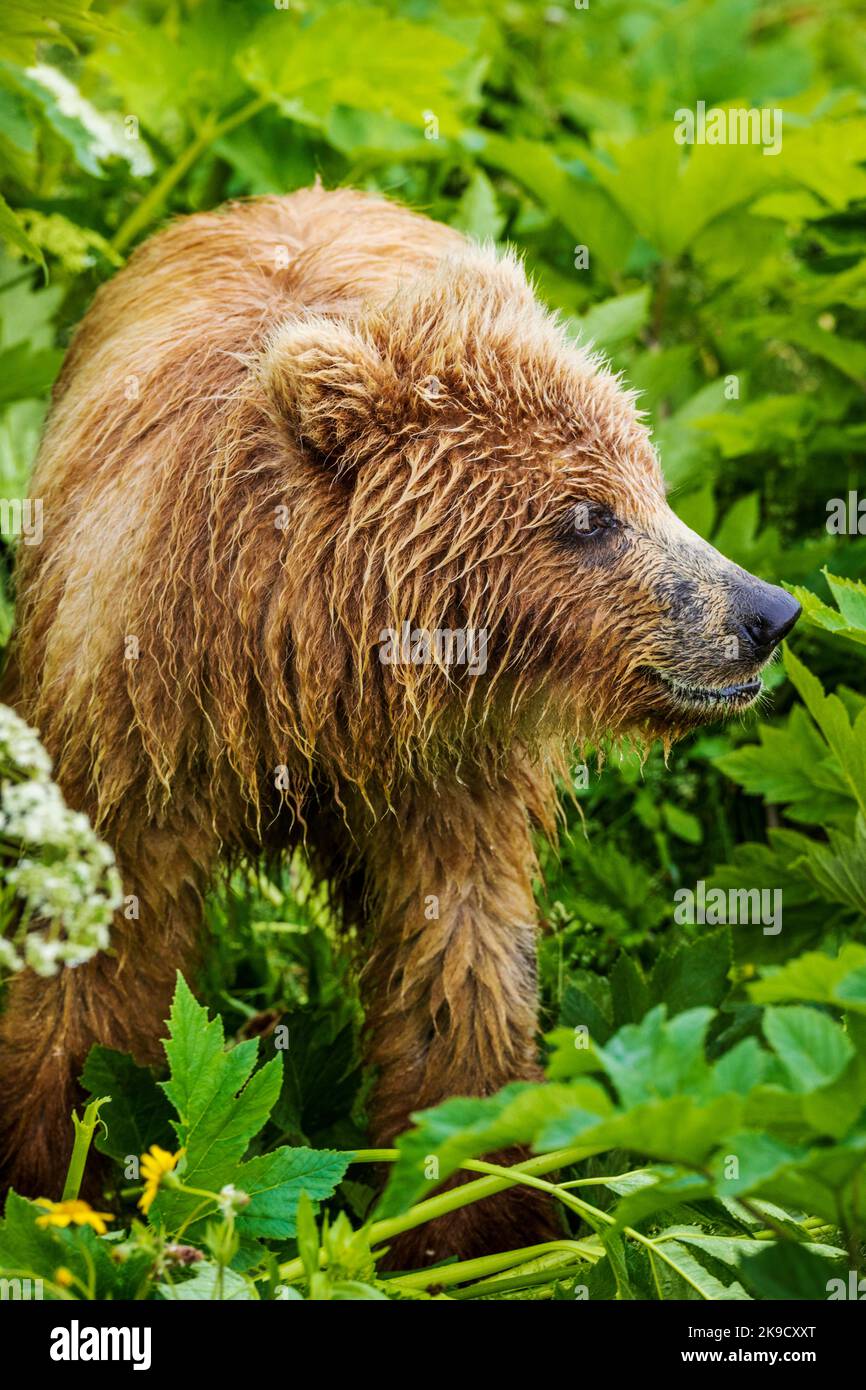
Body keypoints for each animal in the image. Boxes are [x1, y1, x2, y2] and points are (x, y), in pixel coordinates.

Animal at [0, 184, 800, 1265]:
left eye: (651, 484)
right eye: (589, 515)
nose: (765, 612)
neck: (308, 670)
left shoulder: (446, 769)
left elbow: (455, 963)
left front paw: (470, 1215)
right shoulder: (131, 731)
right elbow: (91, 957)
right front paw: (52, 1182)